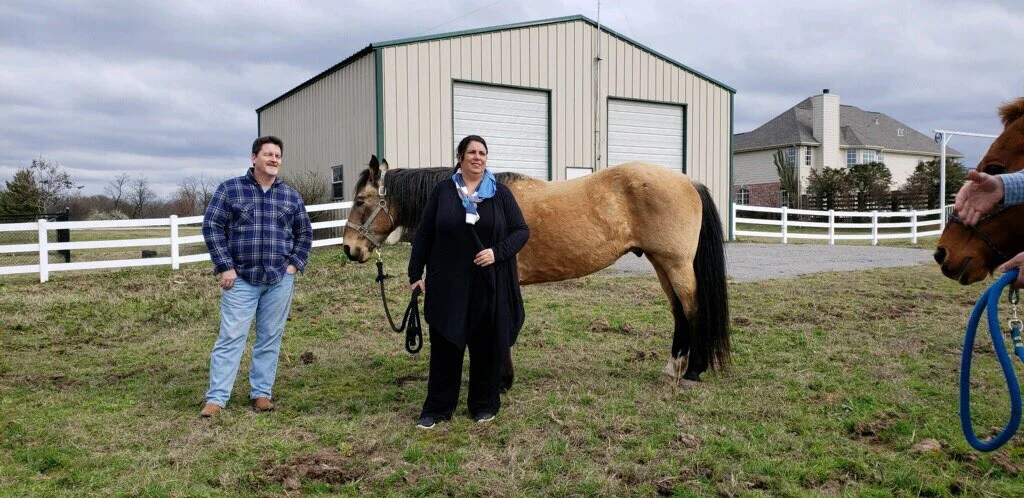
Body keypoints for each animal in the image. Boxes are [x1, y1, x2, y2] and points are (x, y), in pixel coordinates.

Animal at [342, 156, 730, 387]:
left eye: (360, 200)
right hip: (661, 262)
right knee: (678, 312)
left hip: (675, 263)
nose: (349, 248)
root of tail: (689, 182)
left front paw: (499, 380)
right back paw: (673, 368)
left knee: (693, 309)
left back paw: (692, 372)